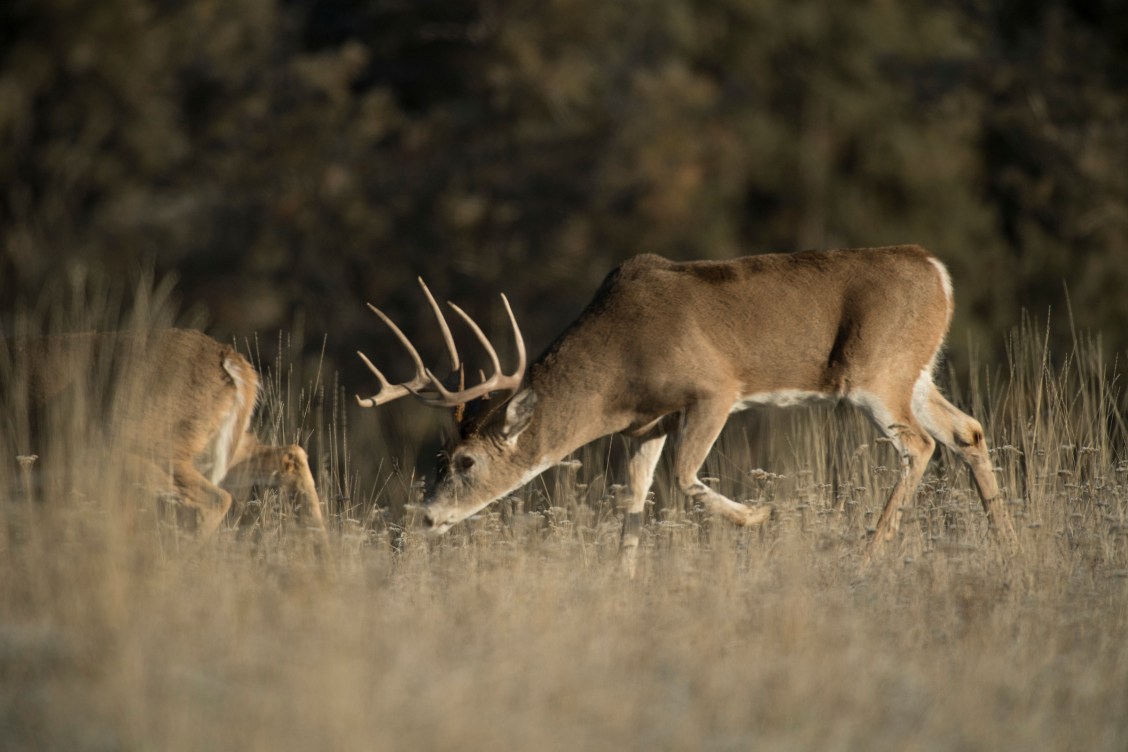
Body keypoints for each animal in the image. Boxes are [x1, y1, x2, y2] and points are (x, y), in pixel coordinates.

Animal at [357, 245, 1018, 573]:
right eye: (439, 458)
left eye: (465, 462)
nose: (426, 517)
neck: (619, 363)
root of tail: (938, 271)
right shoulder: (645, 425)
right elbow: (632, 501)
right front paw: (621, 587)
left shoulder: (713, 389)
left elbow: (681, 476)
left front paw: (762, 516)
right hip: (915, 373)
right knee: (967, 432)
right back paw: (1011, 548)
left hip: (877, 372)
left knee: (921, 445)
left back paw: (870, 553)